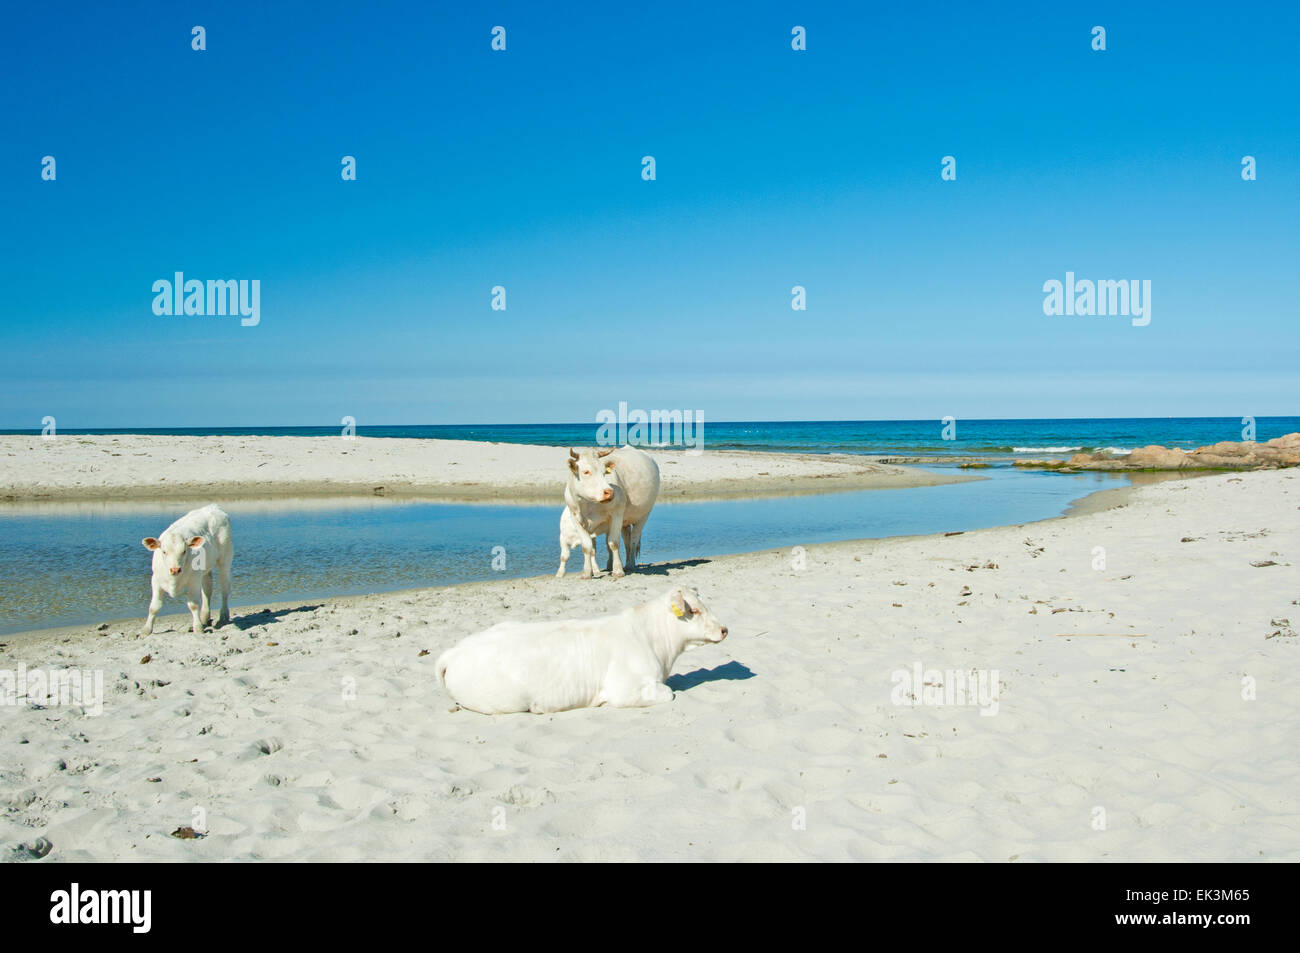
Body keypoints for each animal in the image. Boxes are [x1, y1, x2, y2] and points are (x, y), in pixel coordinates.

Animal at [140, 504, 234, 635]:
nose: (175, 569)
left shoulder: (193, 580)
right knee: (207, 589)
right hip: (205, 568)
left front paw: (198, 628)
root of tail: (213, 507)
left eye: (184, 551)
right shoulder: (155, 580)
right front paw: (146, 630)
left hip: (225, 559)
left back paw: (223, 616)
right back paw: (204, 617)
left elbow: (193, 605)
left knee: (224, 588)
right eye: (164, 551)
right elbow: (154, 607)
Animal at [561, 445, 660, 578]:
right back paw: (619, 564)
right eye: (586, 472)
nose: (609, 492)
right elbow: (587, 546)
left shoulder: (617, 513)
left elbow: (613, 543)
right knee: (627, 540)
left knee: (634, 539)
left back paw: (630, 565)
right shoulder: (575, 517)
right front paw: (587, 573)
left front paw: (618, 571)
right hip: (624, 522)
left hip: (645, 514)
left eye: (604, 472)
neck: (589, 504)